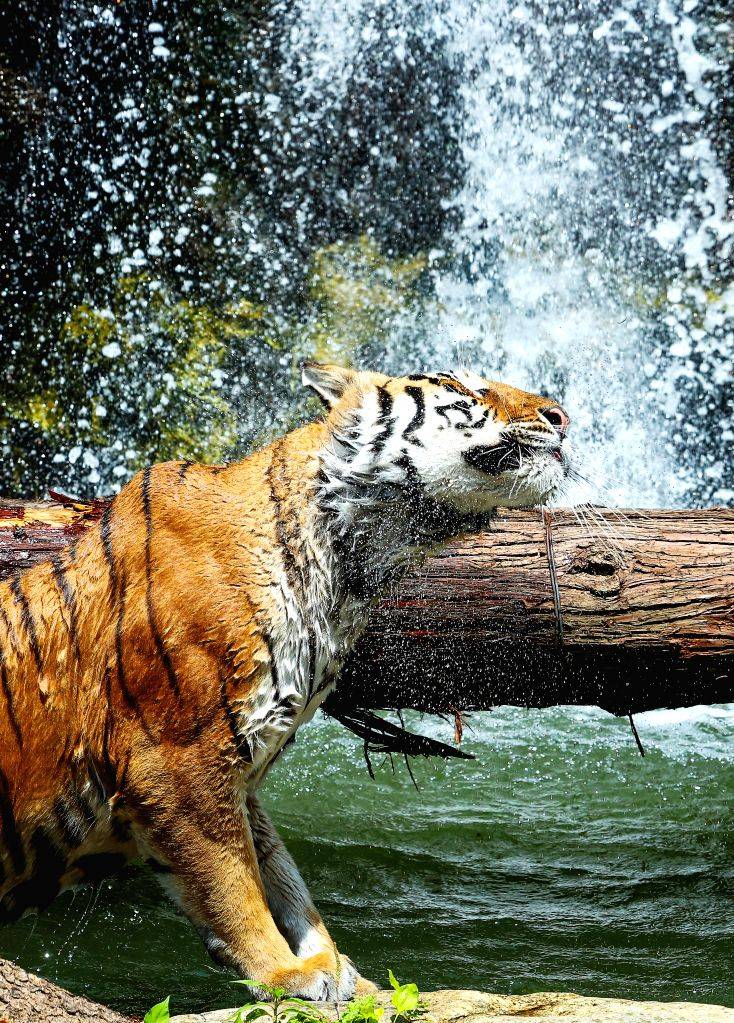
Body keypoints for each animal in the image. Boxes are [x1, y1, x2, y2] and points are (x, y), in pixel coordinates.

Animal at [0, 364, 570, 1000]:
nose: (563, 417)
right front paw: (286, 971)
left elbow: (281, 875)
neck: (349, 568)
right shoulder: (176, 762)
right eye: (469, 390)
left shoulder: (245, 769)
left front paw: (340, 969)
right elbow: (232, 882)